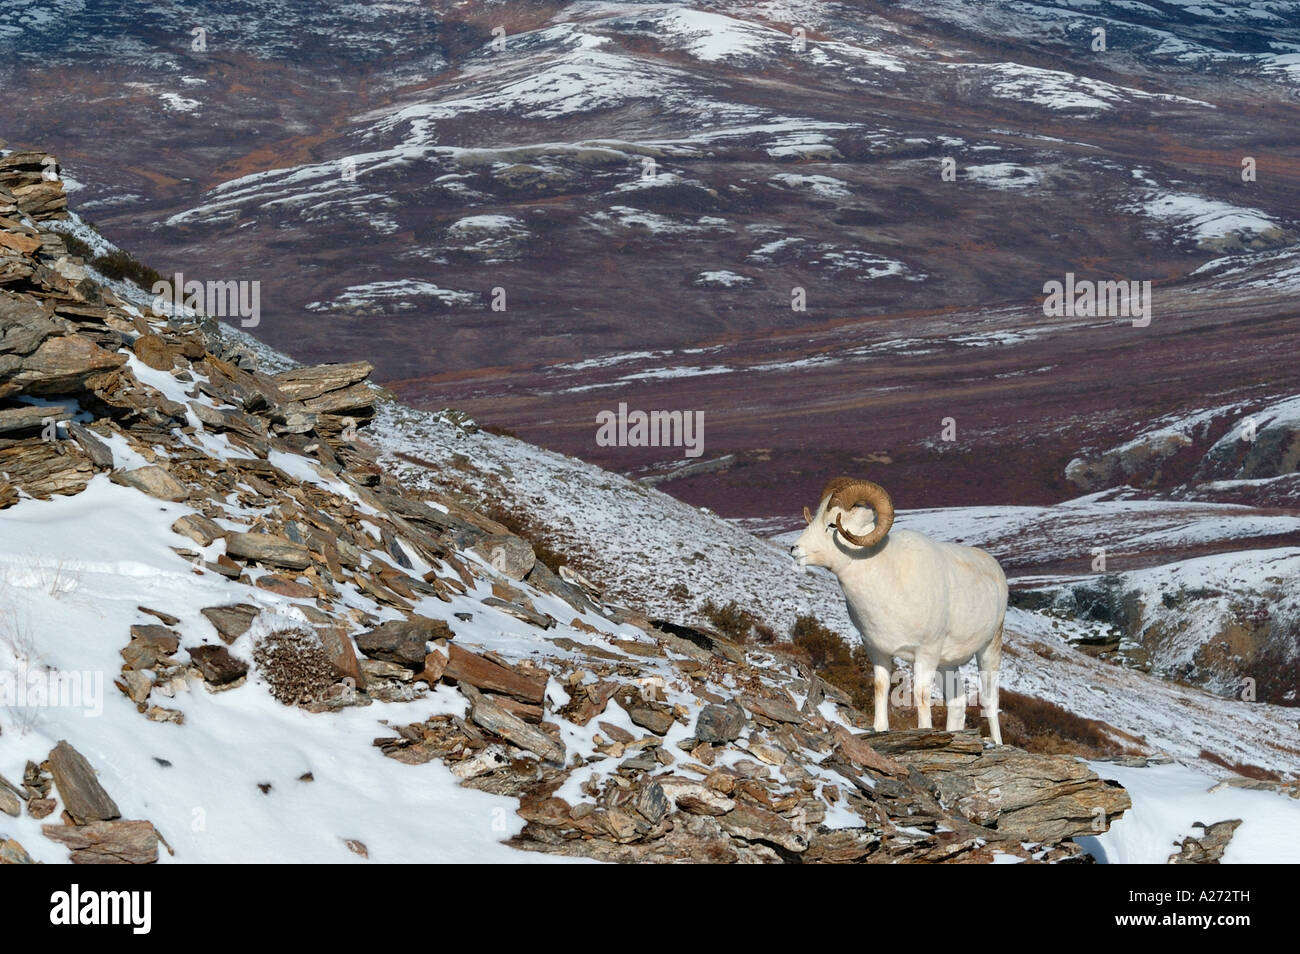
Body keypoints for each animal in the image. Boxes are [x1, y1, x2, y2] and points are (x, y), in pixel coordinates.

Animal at [789, 477, 1007, 744]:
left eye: (832, 524)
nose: (794, 549)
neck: (889, 582)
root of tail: (995, 568)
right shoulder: (877, 650)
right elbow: (881, 687)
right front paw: (880, 728)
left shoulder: (926, 653)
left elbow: (921, 695)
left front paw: (924, 732)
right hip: (947, 663)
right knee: (957, 702)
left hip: (988, 649)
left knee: (990, 700)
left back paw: (996, 743)